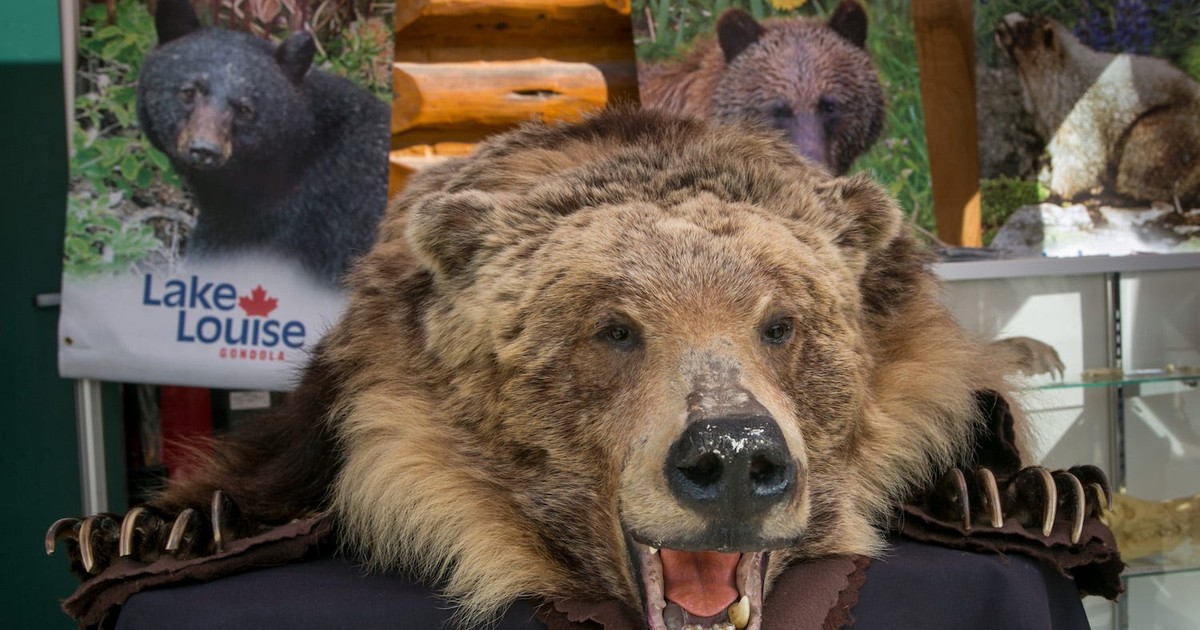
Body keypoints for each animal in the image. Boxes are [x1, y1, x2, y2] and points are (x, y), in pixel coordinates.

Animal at [995, 13, 1200, 204]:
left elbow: (1077, 150)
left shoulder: (1073, 107)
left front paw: (1057, 192)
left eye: (1026, 26)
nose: (1000, 23)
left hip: (1157, 133)